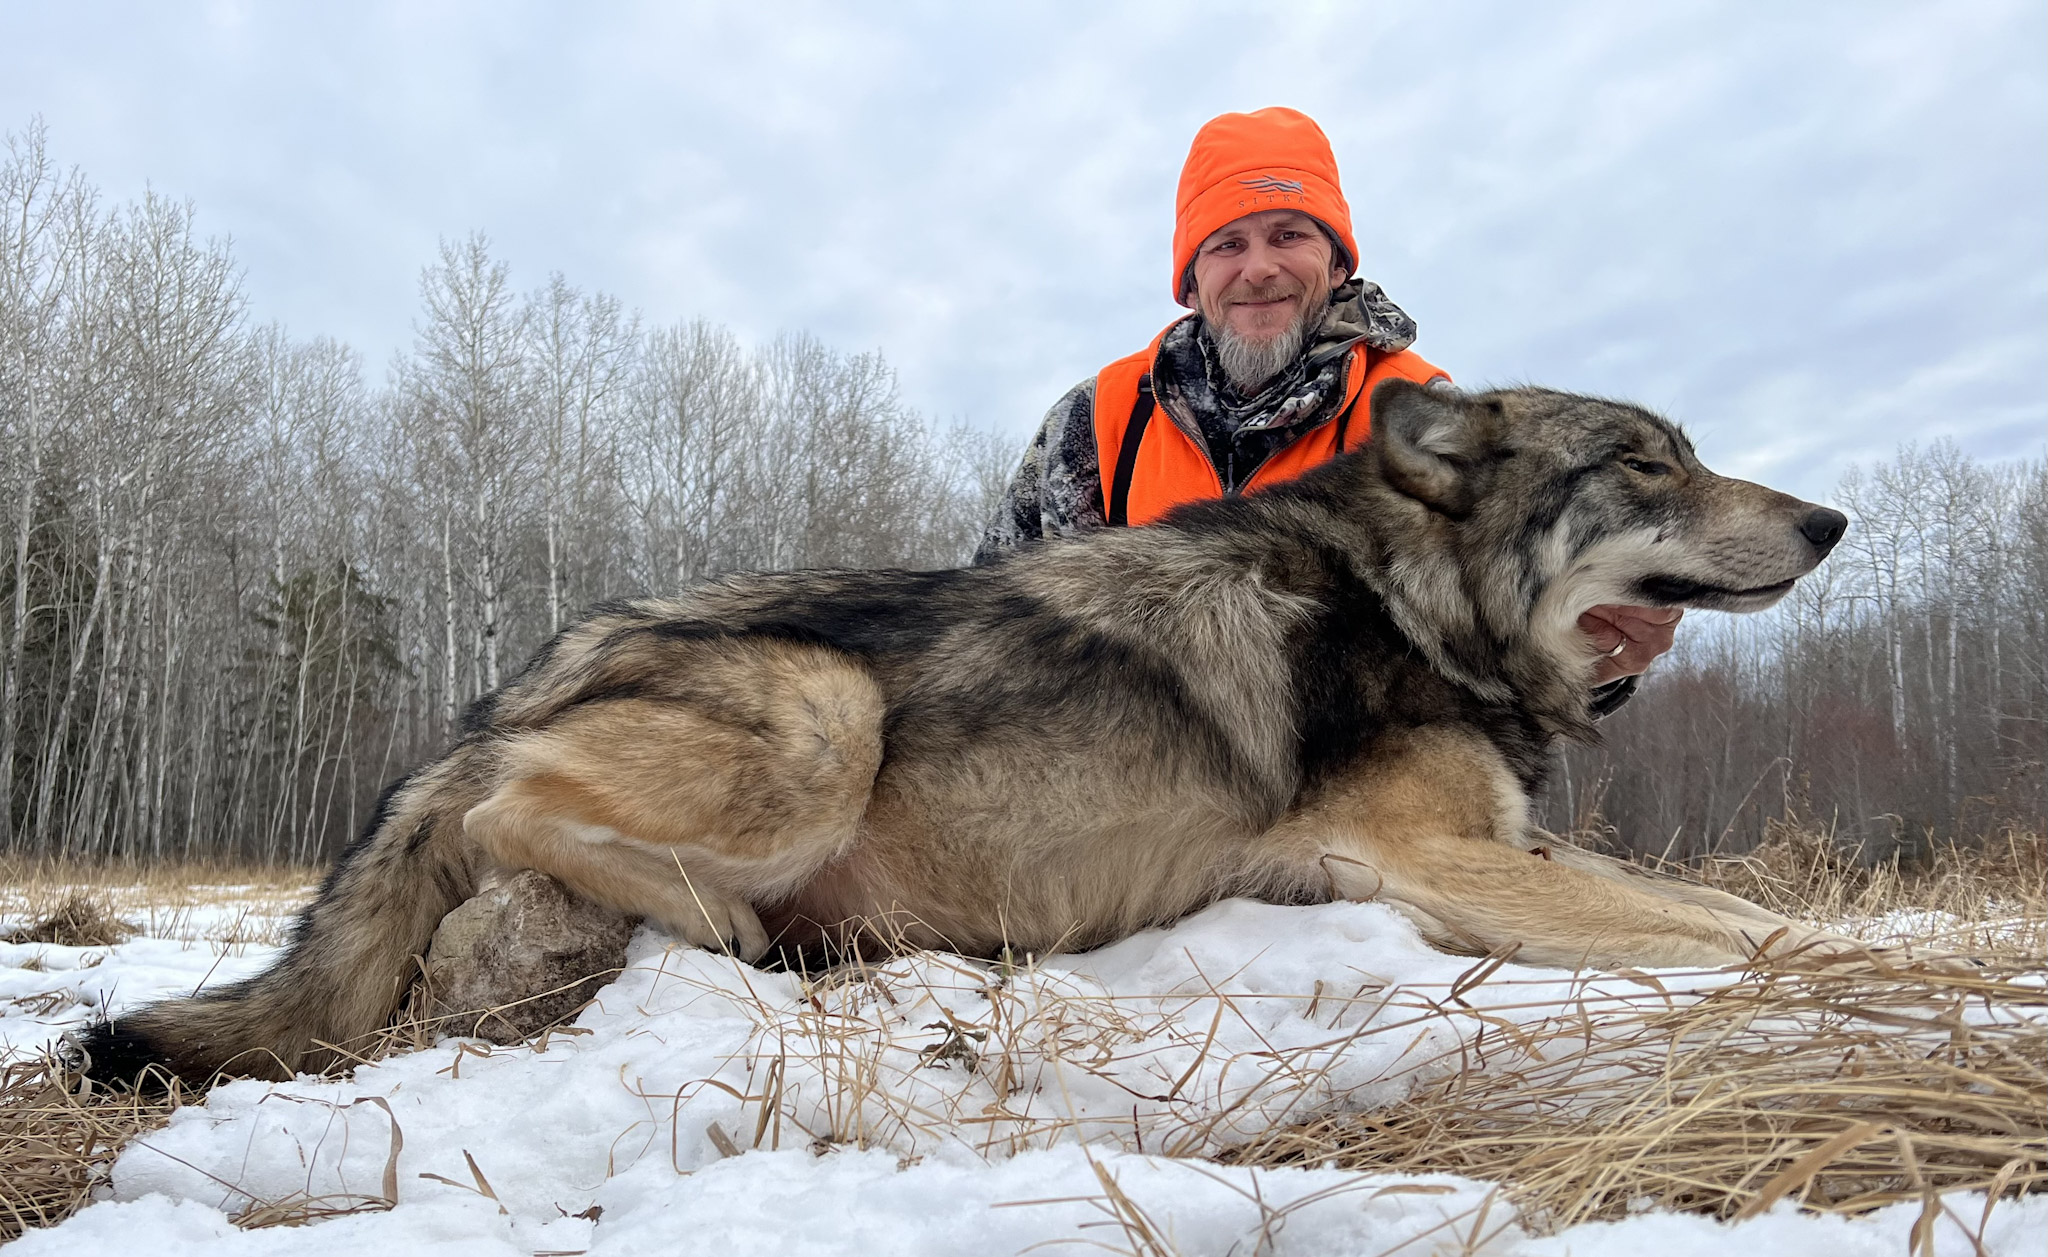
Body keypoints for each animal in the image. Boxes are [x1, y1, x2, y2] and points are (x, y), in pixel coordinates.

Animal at [81, 379, 1861, 1086]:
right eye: (1644, 461)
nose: (1836, 519)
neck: (1417, 599)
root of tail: (512, 677)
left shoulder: (1514, 849)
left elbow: (1737, 911)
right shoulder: (1440, 865)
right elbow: (1744, 934)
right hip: (828, 708)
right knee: (522, 813)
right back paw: (741, 923)